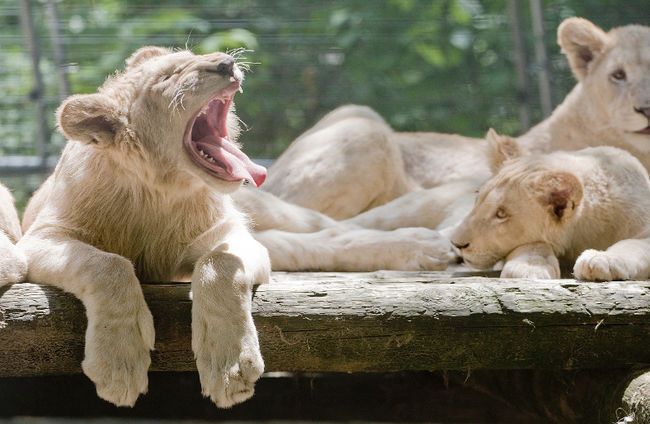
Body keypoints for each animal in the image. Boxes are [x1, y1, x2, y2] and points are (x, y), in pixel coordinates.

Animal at [19, 47, 271, 408]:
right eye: (167, 76)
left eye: (193, 55)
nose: (227, 62)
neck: (157, 192)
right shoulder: (40, 237)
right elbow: (108, 265)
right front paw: (118, 363)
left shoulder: (229, 234)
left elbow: (219, 263)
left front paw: (232, 365)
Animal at [451, 130, 650, 281]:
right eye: (477, 199)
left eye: (501, 214)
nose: (456, 244)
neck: (584, 234)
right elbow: (534, 245)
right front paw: (529, 267)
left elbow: (632, 244)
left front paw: (602, 259)